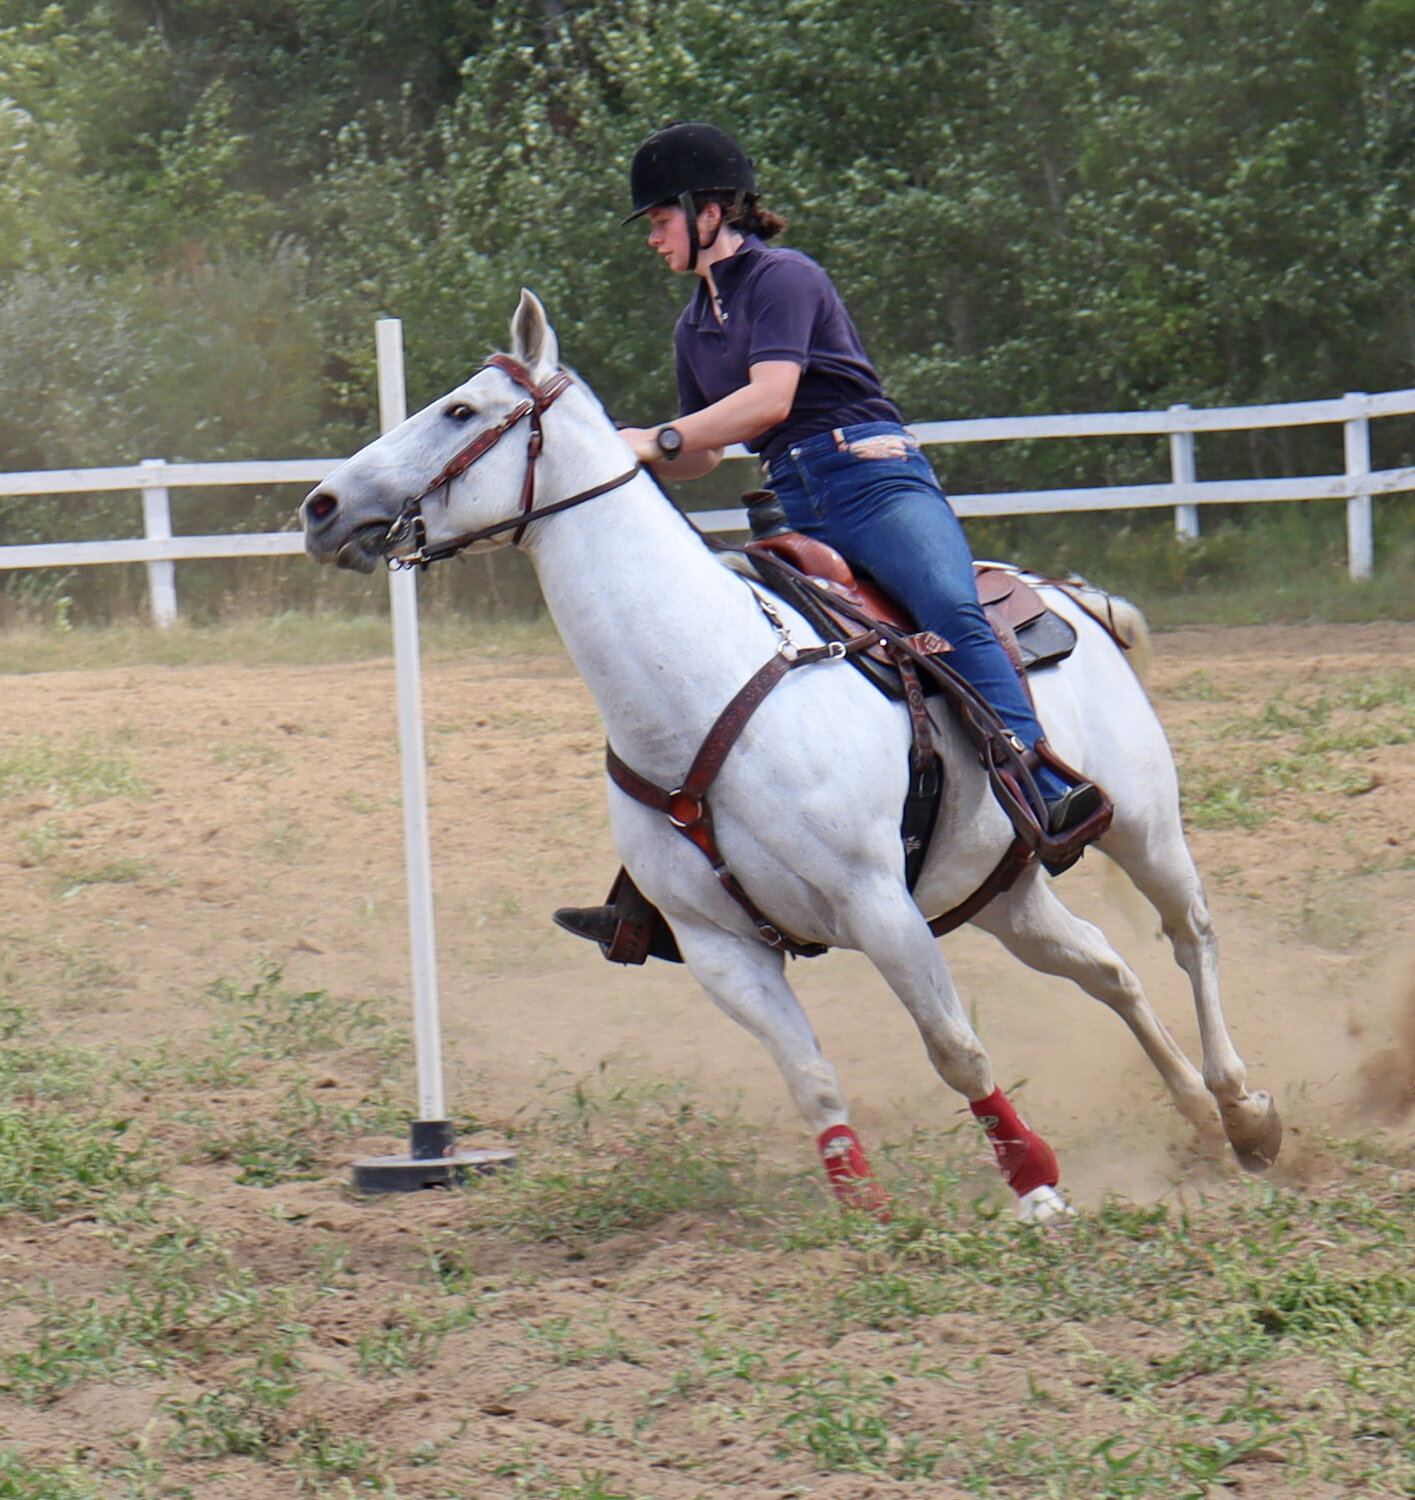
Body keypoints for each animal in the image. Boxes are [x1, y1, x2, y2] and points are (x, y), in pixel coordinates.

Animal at [301, 290, 1281, 1223]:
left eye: (460, 410)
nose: (320, 506)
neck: (703, 688)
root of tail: (1065, 593)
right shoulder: (719, 949)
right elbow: (811, 1080)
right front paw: (863, 1210)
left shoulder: (880, 908)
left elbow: (956, 1051)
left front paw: (1035, 1186)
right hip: (999, 893)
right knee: (1104, 967)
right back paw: (1198, 1117)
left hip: (1142, 826)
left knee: (1188, 935)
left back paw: (1244, 1113)